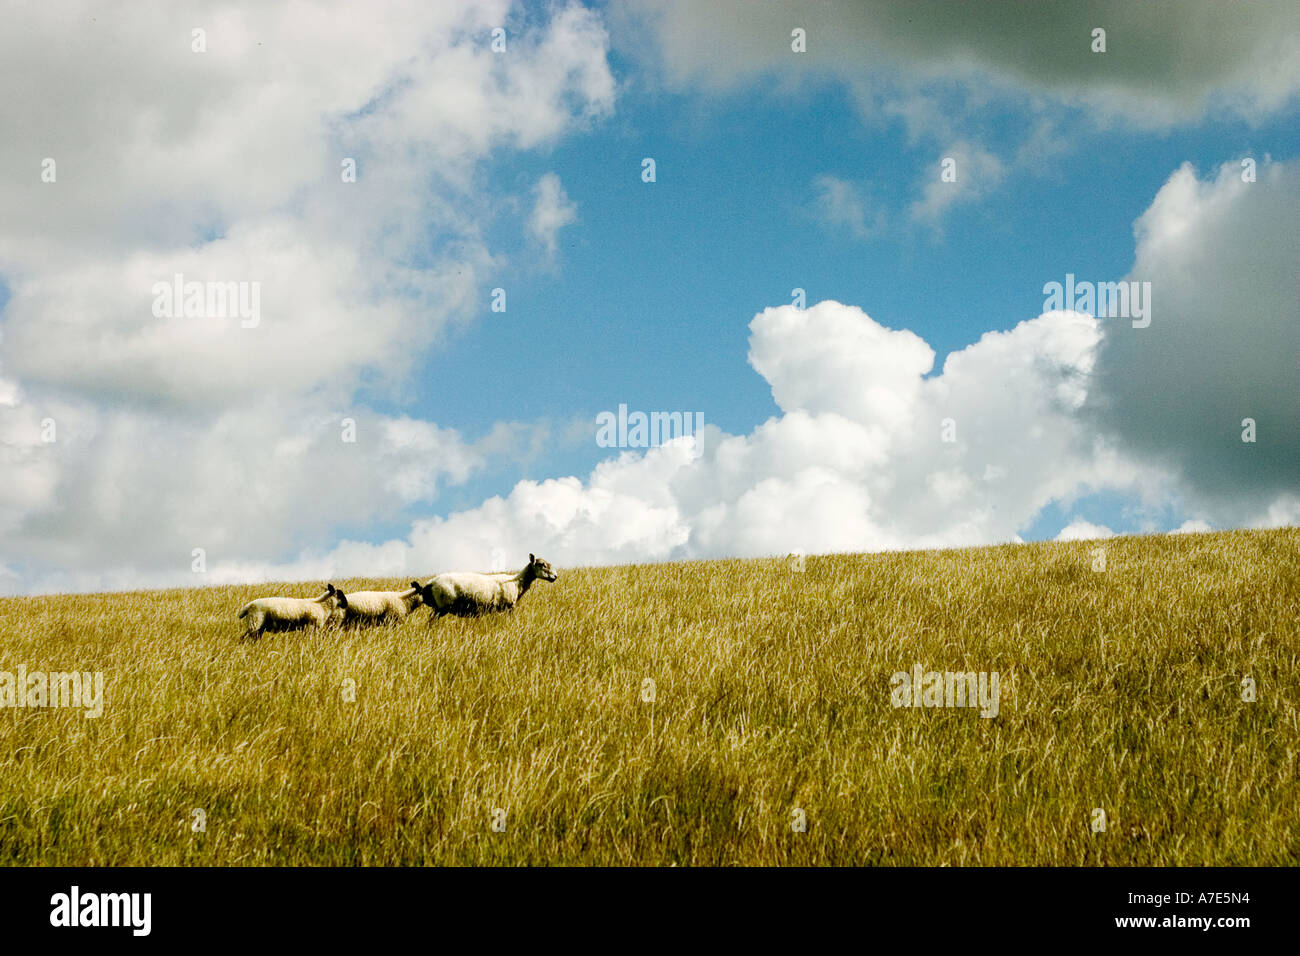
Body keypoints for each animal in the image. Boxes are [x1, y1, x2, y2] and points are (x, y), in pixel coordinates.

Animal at [419, 553, 558, 620]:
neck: (517, 583)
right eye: (542, 564)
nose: (555, 576)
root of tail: (430, 582)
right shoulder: (508, 607)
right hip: (442, 606)